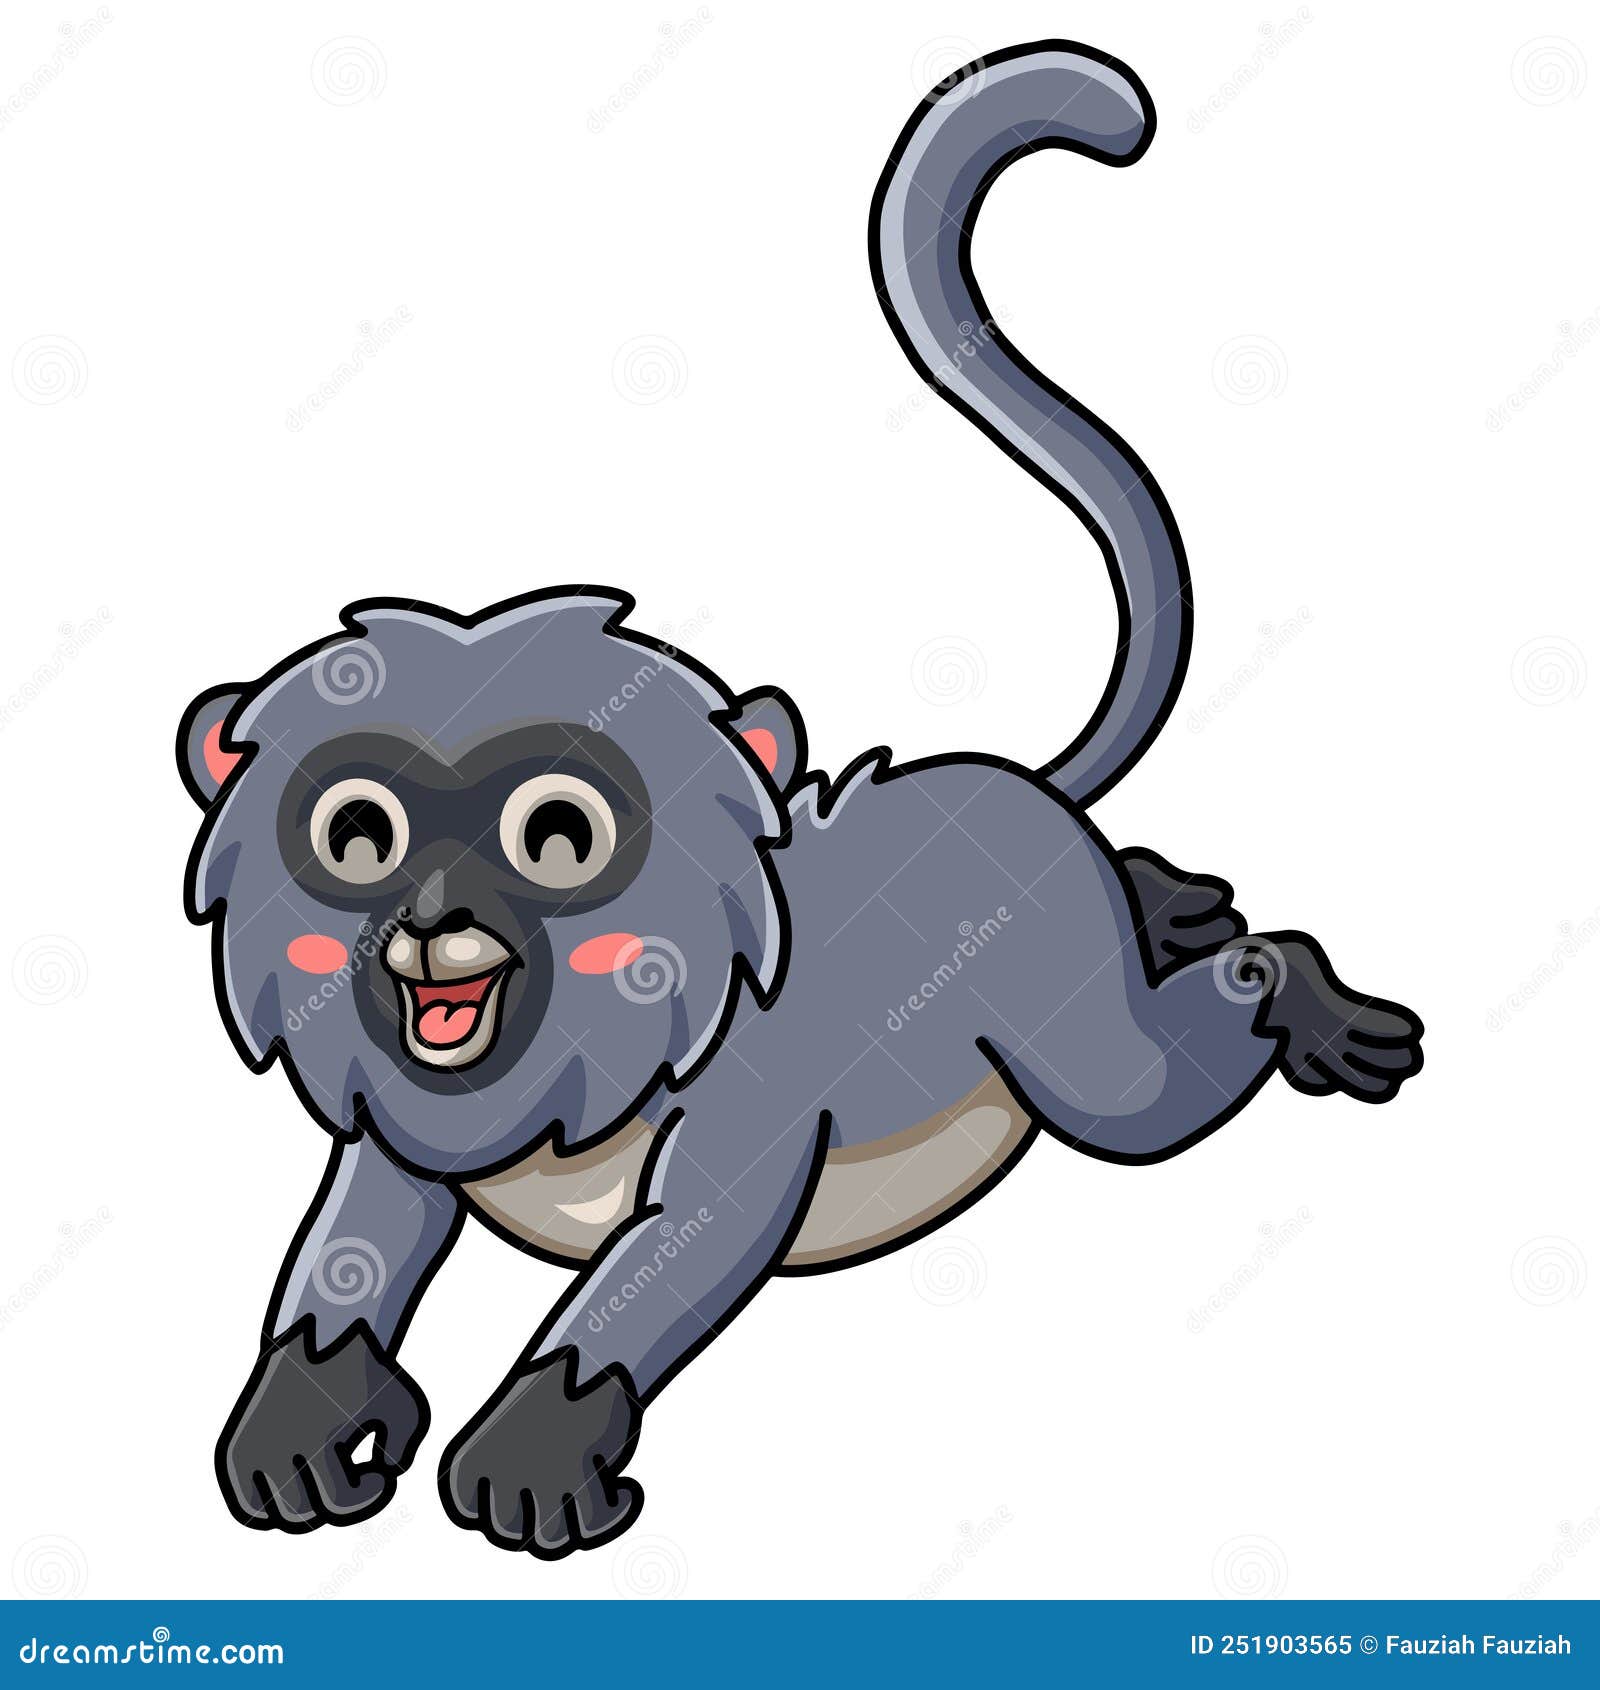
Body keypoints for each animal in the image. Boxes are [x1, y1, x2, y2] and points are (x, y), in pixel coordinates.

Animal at [179, 41, 1422, 1560]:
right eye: (357, 833)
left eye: (560, 833)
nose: (425, 919)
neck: (579, 1064)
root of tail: (1005, 783)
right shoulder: (398, 1131)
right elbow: (345, 1251)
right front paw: (298, 1430)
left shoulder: (747, 1124)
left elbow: (658, 1268)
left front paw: (535, 1459)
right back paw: (1178, 896)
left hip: (1084, 1049)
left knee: (1176, 1058)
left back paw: (1297, 992)